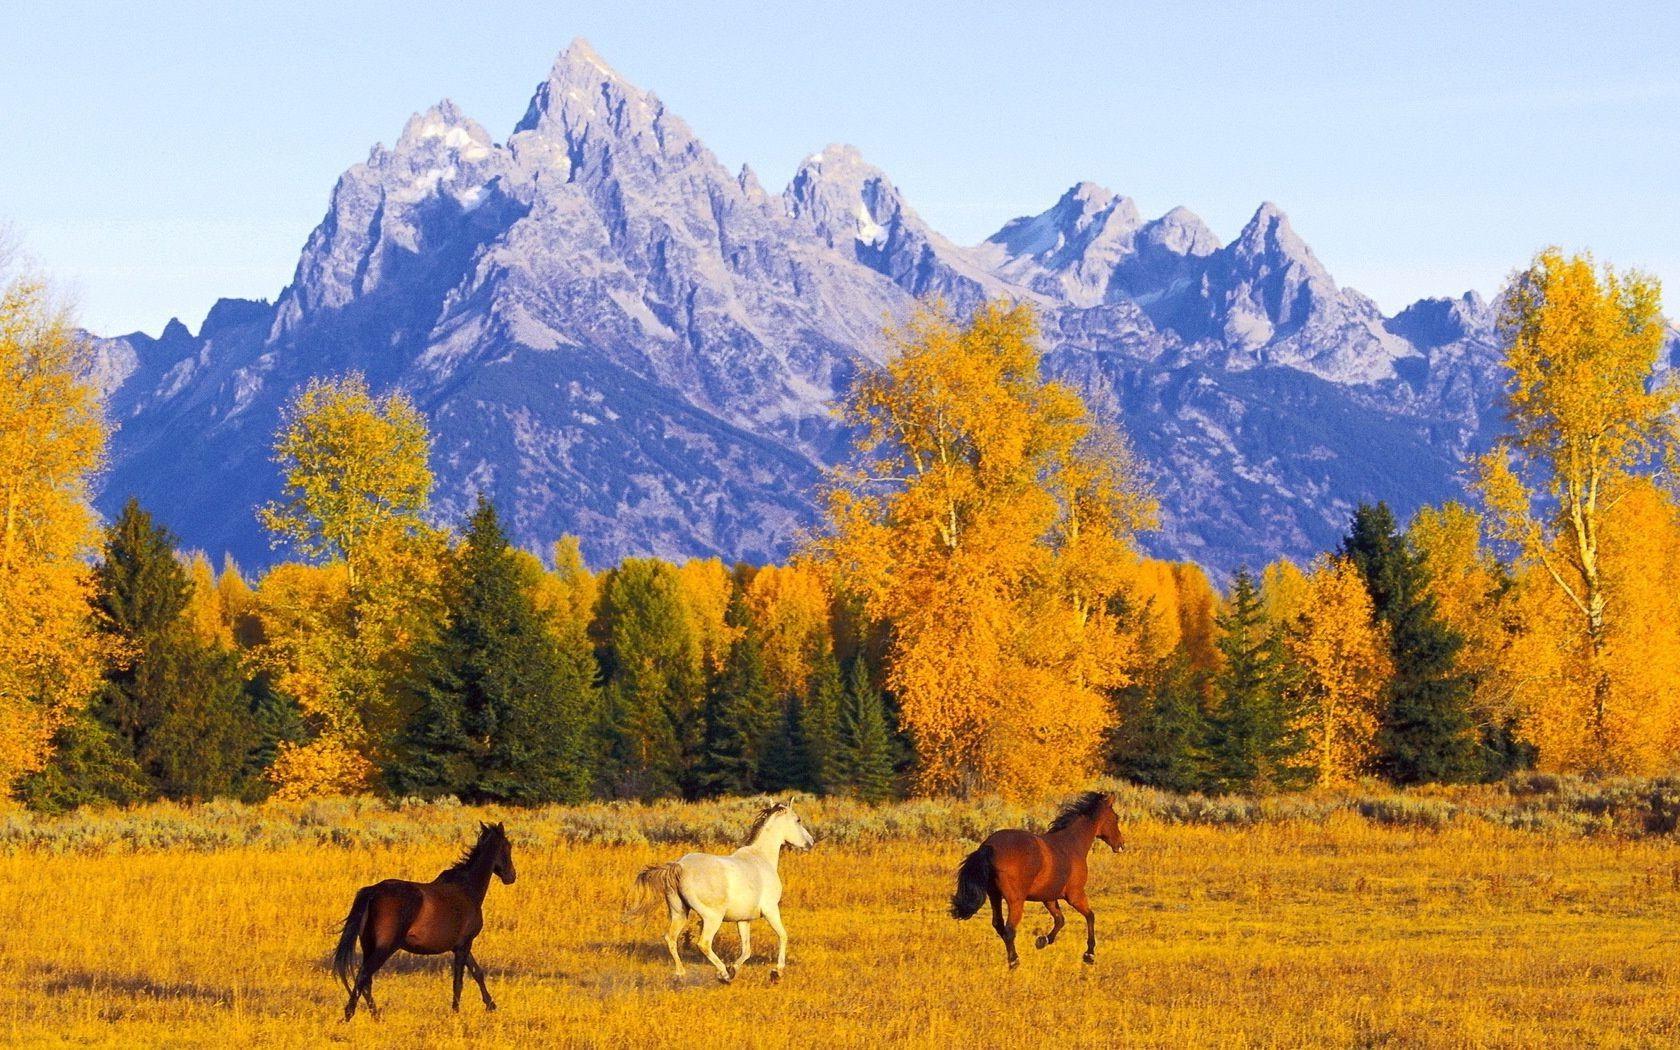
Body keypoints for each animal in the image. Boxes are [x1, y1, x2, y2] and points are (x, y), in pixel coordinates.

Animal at [332, 821, 516, 1020]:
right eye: (508, 846)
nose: (511, 876)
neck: (466, 889)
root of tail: (373, 892)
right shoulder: (464, 945)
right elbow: (459, 981)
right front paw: (456, 1012)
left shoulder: (459, 946)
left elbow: (477, 972)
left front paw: (491, 1005)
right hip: (384, 948)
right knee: (363, 976)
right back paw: (349, 1015)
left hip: (369, 947)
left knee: (366, 981)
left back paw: (376, 1016)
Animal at [630, 800, 816, 983]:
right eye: (798, 820)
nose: (811, 842)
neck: (761, 858)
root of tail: (679, 866)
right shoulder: (771, 910)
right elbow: (783, 936)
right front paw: (776, 972)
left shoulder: (743, 919)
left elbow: (746, 950)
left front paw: (733, 968)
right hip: (712, 917)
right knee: (703, 943)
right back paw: (723, 974)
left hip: (679, 913)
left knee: (670, 938)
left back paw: (681, 973)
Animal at [950, 791, 1124, 969]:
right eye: (1115, 818)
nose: (1121, 844)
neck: (1072, 844)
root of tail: (988, 847)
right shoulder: (1075, 895)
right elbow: (1090, 916)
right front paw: (1089, 954)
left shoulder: (1049, 898)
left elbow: (1060, 920)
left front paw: (1042, 940)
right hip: (1016, 901)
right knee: (1009, 929)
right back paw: (1014, 962)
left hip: (995, 896)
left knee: (999, 925)